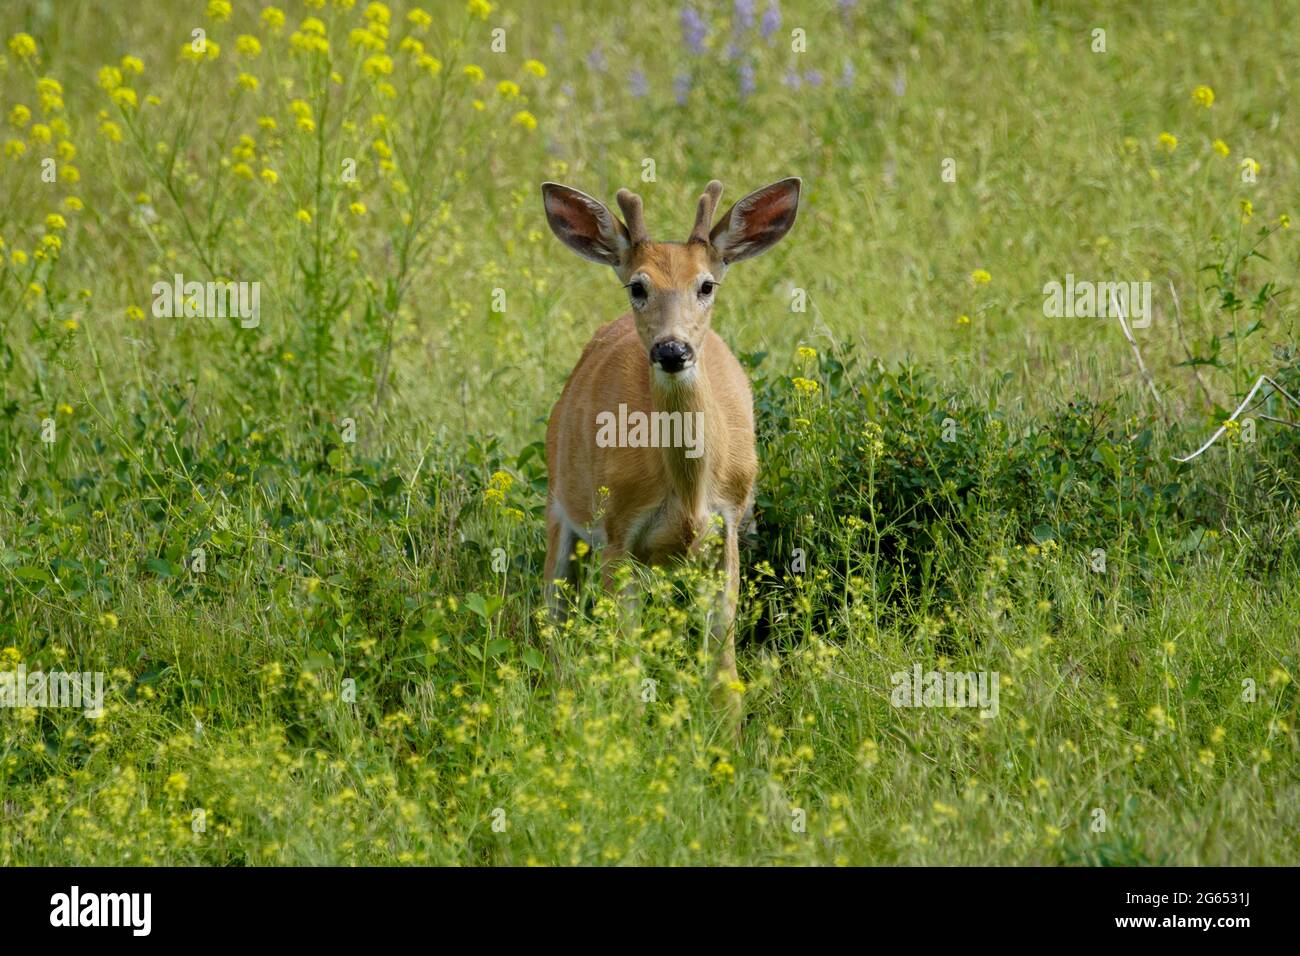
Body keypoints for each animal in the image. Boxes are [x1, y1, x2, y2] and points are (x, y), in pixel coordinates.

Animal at [540, 177, 802, 717]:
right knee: (552, 616)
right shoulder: (617, 532)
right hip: (561, 504)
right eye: (637, 286)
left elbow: (724, 669)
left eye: (706, 285)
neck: (687, 489)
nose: (672, 349)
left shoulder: (728, 526)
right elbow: (628, 663)